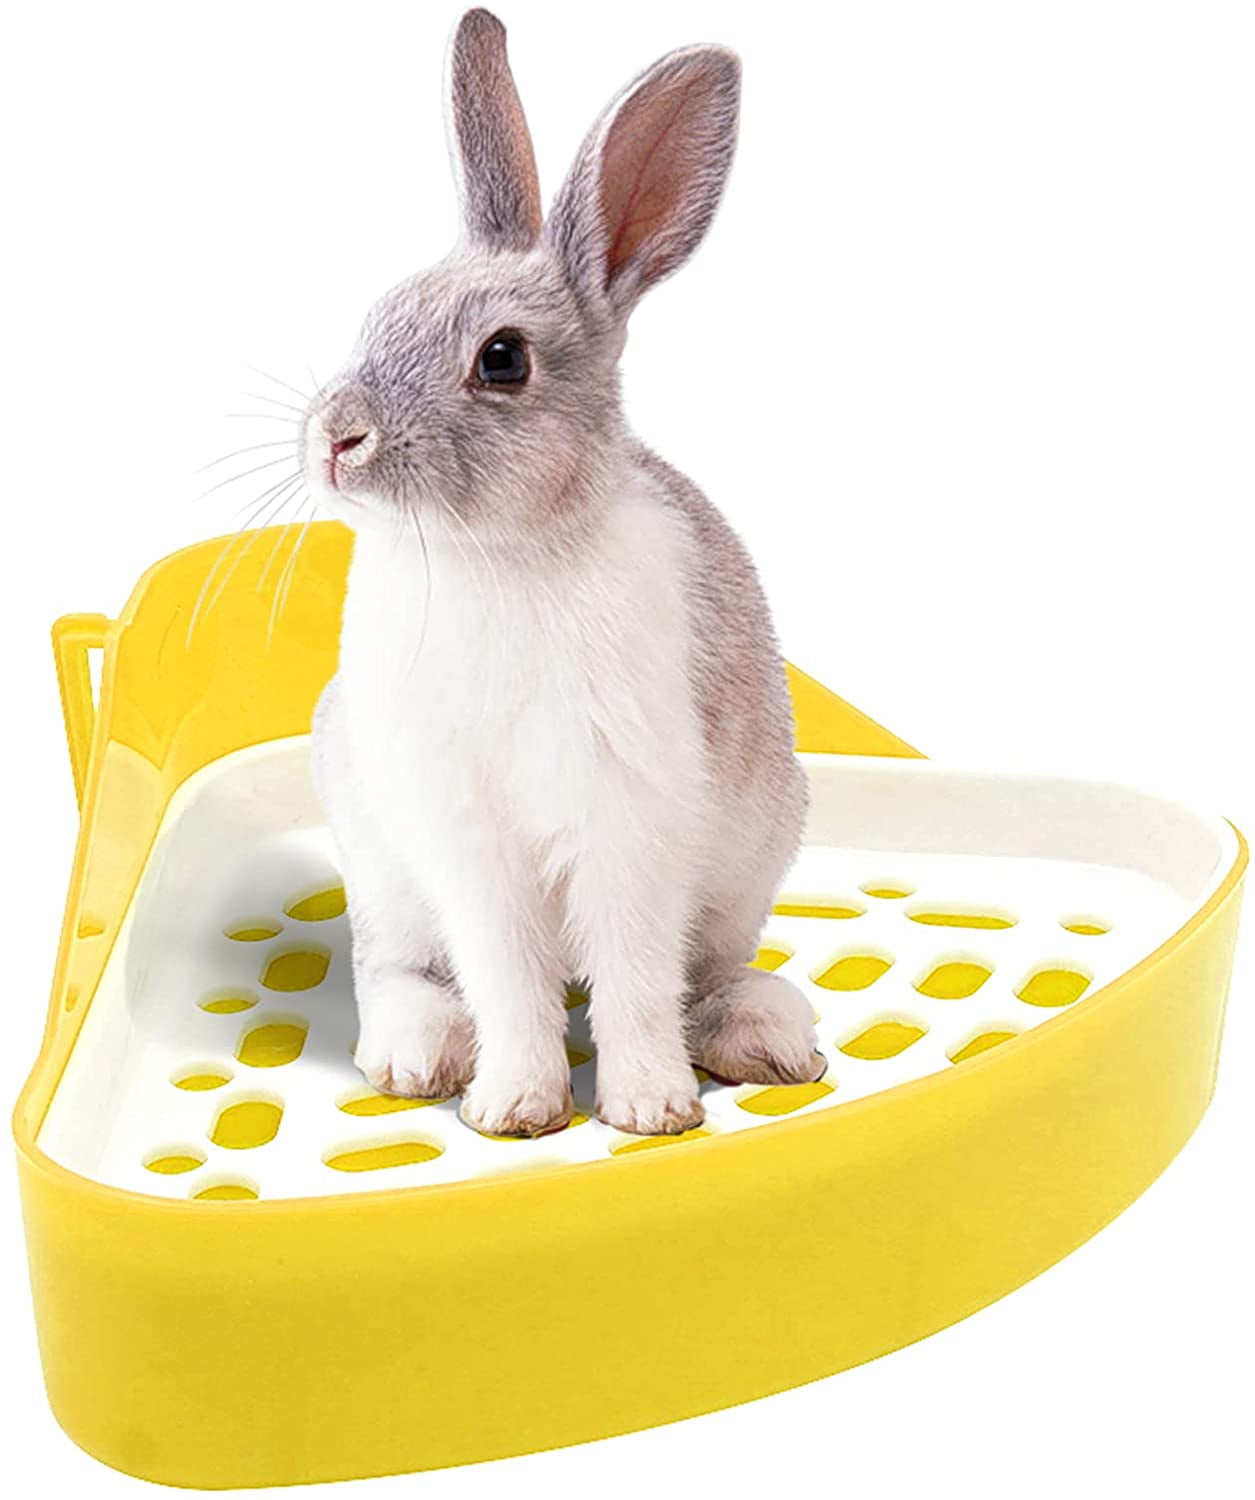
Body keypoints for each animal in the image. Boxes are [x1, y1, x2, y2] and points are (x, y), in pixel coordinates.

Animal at [301, 8, 825, 1138]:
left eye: (502, 359)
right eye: (378, 315)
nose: (335, 438)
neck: (499, 555)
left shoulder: (631, 822)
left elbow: (632, 975)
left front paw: (649, 1110)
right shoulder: (468, 841)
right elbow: (506, 976)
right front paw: (514, 1109)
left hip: (750, 864)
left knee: (702, 973)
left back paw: (762, 1039)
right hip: (384, 871)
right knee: (397, 969)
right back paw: (417, 1056)